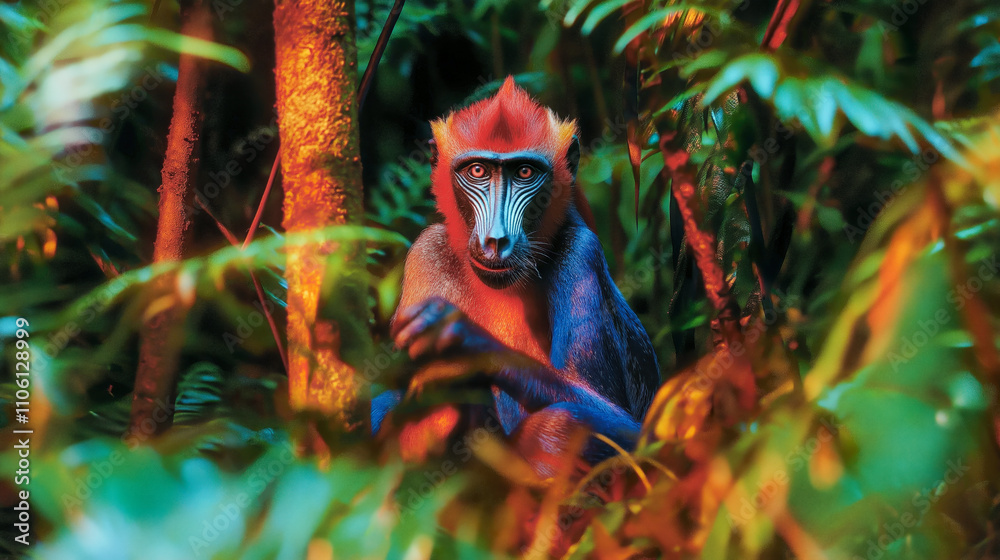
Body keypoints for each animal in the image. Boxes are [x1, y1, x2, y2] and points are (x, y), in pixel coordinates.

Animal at [372, 77, 660, 475]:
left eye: (524, 172)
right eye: (477, 171)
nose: (496, 240)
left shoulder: (581, 252)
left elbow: (628, 425)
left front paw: (465, 344)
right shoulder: (426, 254)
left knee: (559, 427)